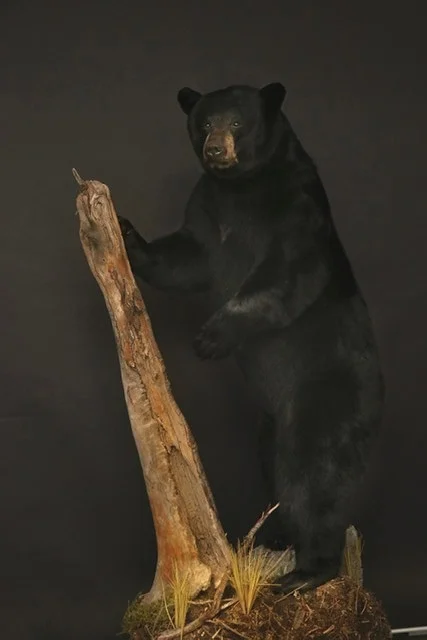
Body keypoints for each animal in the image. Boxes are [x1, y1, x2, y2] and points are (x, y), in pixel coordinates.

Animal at [118, 82, 385, 594]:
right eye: (205, 121)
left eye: (238, 122)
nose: (215, 149)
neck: (240, 187)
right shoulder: (205, 207)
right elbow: (187, 257)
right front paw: (126, 232)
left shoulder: (299, 208)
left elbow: (283, 274)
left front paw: (211, 337)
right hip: (268, 422)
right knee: (273, 469)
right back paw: (276, 535)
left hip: (326, 397)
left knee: (313, 477)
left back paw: (308, 570)